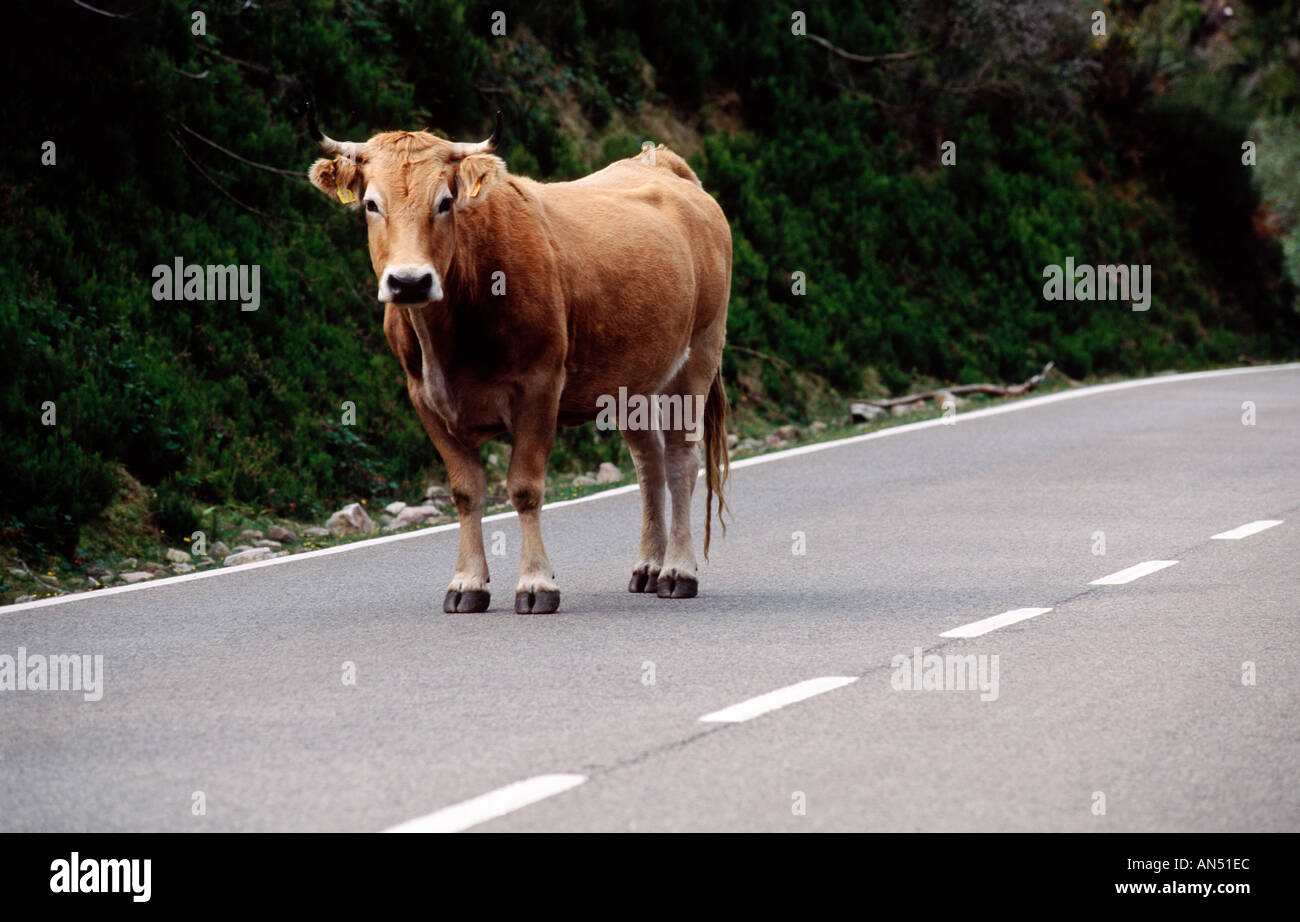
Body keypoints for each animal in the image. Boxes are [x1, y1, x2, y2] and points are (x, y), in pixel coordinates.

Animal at [306, 109, 732, 614]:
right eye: (372, 204)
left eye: (445, 202)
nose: (409, 281)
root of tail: (660, 162)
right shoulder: (423, 397)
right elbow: (466, 491)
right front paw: (467, 583)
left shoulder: (539, 387)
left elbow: (525, 488)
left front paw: (536, 584)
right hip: (634, 381)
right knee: (648, 463)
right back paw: (647, 567)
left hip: (697, 358)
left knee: (681, 461)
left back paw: (677, 572)